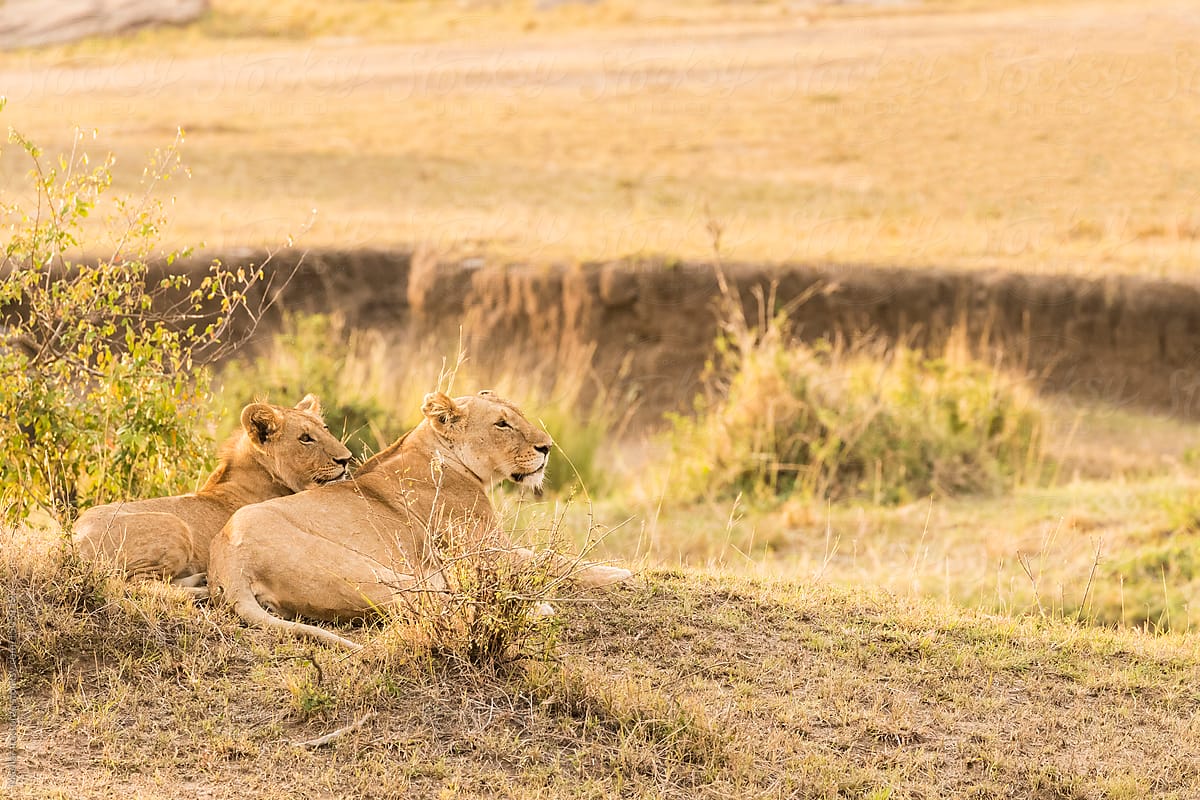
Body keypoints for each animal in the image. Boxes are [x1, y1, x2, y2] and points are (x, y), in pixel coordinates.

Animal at [73, 395, 352, 586]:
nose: (346, 459)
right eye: (305, 438)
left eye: (325, 429)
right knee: (142, 584)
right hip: (175, 527)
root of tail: (74, 542)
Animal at [207, 390, 633, 651]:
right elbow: (551, 560)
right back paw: (534, 610)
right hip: (367, 571)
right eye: (502, 424)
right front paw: (619, 574)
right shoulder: (484, 553)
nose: (546, 447)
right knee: (430, 605)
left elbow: (543, 556)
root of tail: (225, 562)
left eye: (519, 415)